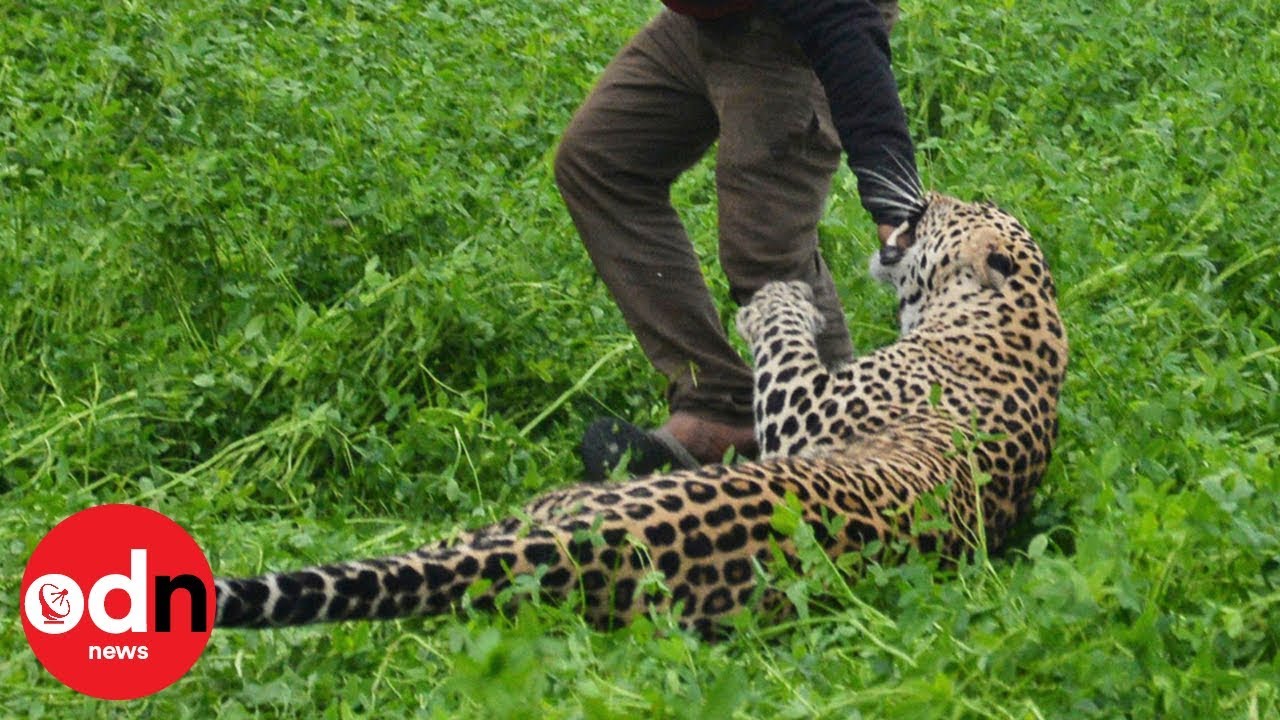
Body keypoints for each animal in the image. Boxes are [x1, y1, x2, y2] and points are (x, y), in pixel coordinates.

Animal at [215, 192, 1068, 636]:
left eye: (957, 208)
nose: (917, 199)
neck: (1017, 312)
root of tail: (596, 549)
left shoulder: (812, 411)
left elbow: (787, 348)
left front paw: (775, 301)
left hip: (553, 507)